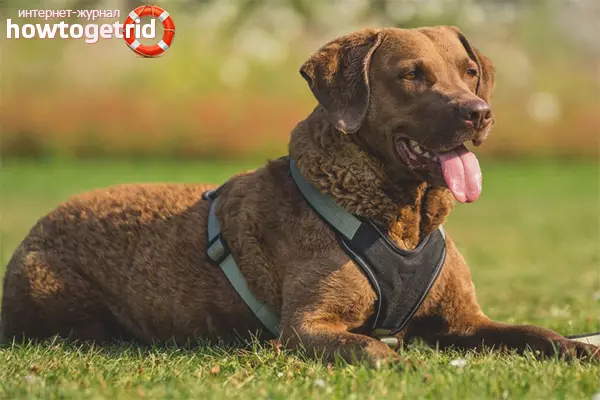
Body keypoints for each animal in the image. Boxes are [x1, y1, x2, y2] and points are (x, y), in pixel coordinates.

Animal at [2, 25, 596, 366]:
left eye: (470, 71)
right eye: (412, 75)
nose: (479, 112)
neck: (402, 220)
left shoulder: (465, 321)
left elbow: (534, 333)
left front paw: (575, 347)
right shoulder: (310, 325)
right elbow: (373, 349)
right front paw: (404, 361)